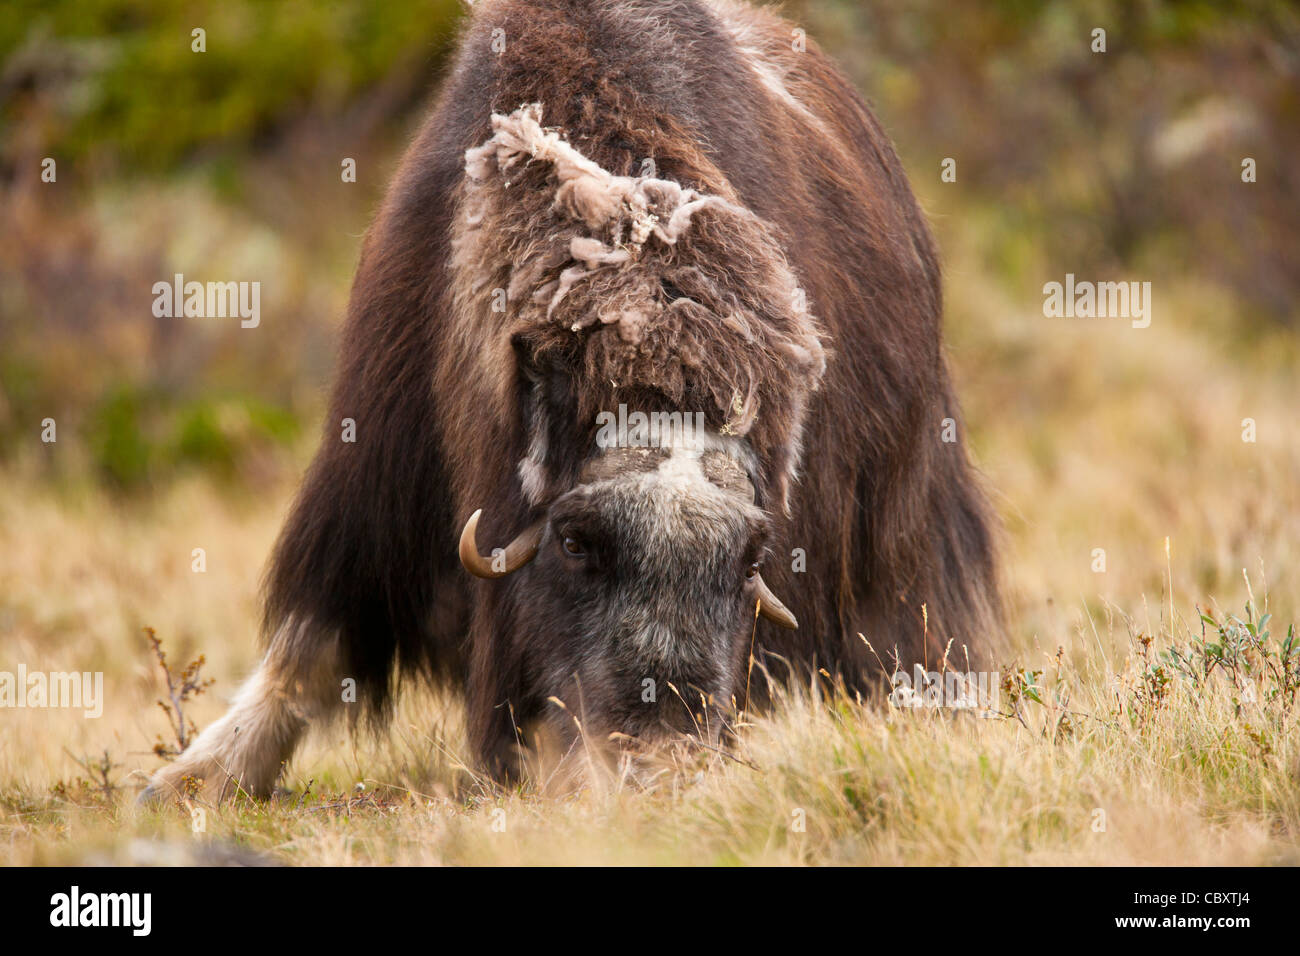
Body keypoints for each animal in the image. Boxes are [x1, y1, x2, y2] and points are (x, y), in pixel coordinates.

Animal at [143, 0, 999, 800]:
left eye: (749, 559)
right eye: (577, 543)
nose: (659, 771)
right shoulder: (376, 461)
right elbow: (314, 641)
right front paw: (194, 777)